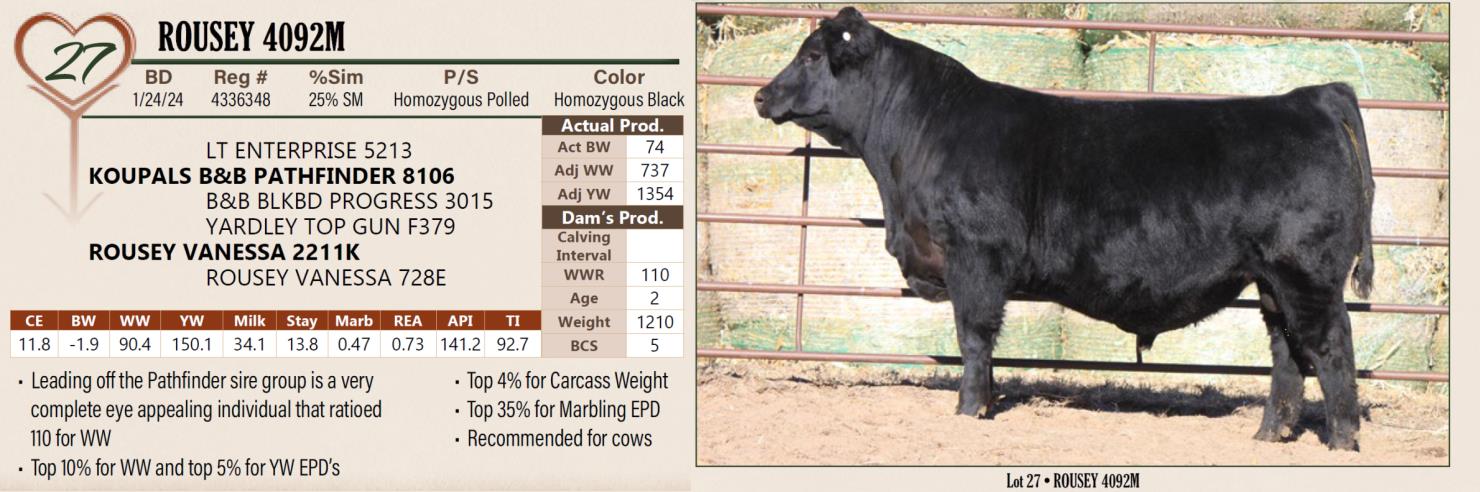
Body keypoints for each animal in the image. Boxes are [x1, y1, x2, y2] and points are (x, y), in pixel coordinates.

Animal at [753, 7, 1374, 451]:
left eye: (812, 54)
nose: (760, 95)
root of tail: (1311, 97)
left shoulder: (974, 259)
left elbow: (973, 338)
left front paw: (970, 410)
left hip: (1307, 272)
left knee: (1330, 345)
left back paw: (1342, 440)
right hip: (1271, 279)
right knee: (1287, 352)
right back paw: (1270, 433)